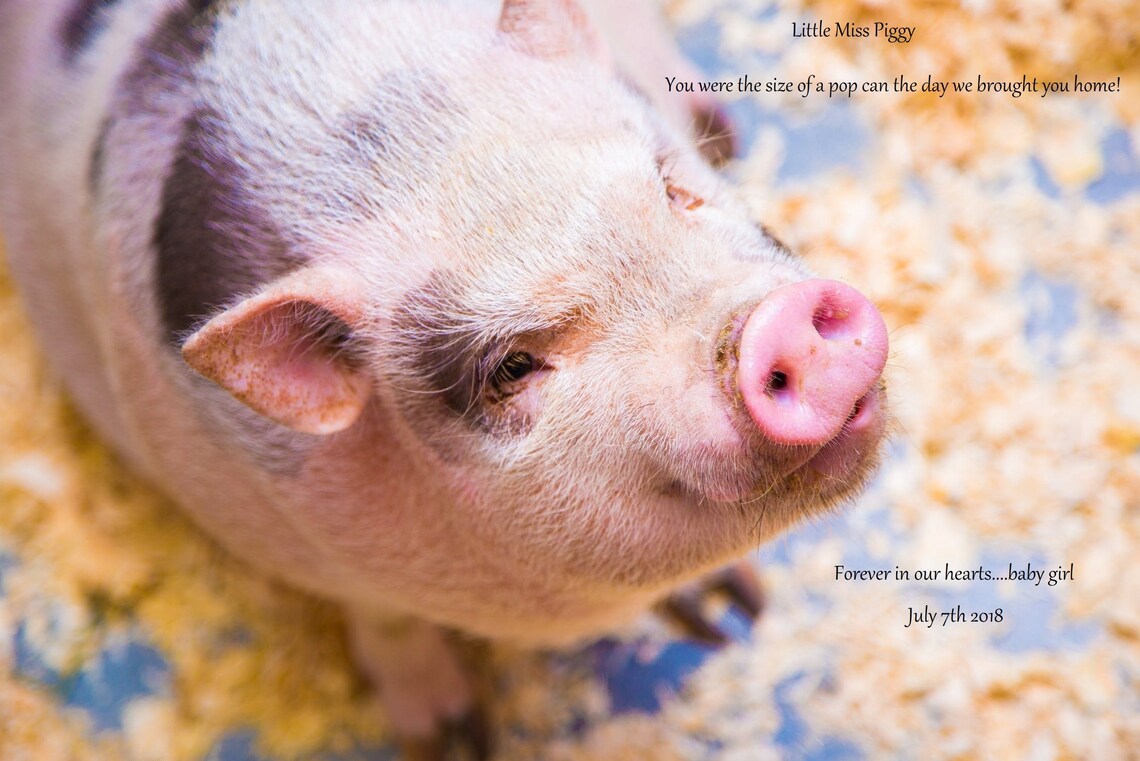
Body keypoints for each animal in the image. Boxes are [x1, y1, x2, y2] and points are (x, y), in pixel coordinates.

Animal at [0, 0, 890, 757]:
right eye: (513, 366)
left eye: (675, 192)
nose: (781, 323)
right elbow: (384, 620)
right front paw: (457, 739)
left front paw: (740, 617)